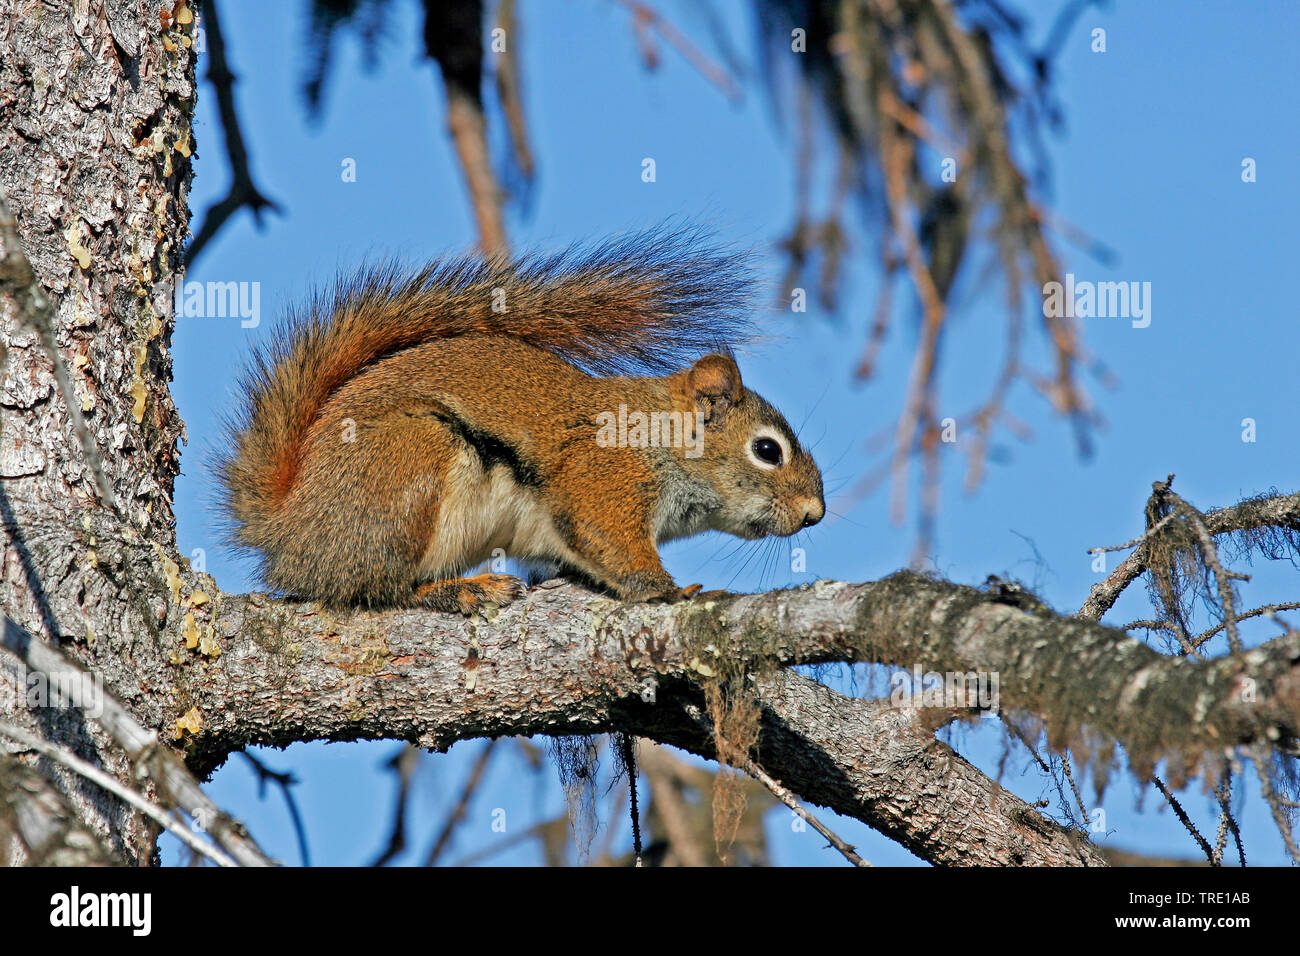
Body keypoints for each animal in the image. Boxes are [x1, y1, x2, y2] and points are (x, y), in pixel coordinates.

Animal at [215, 228, 825, 614]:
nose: (814, 515)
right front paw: (671, 592)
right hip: (410, 465)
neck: (657, 435)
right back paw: (461, 591)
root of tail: (289, 528)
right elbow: (610, 541)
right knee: (375, 587)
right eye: (767, 450)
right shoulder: (604, 478)